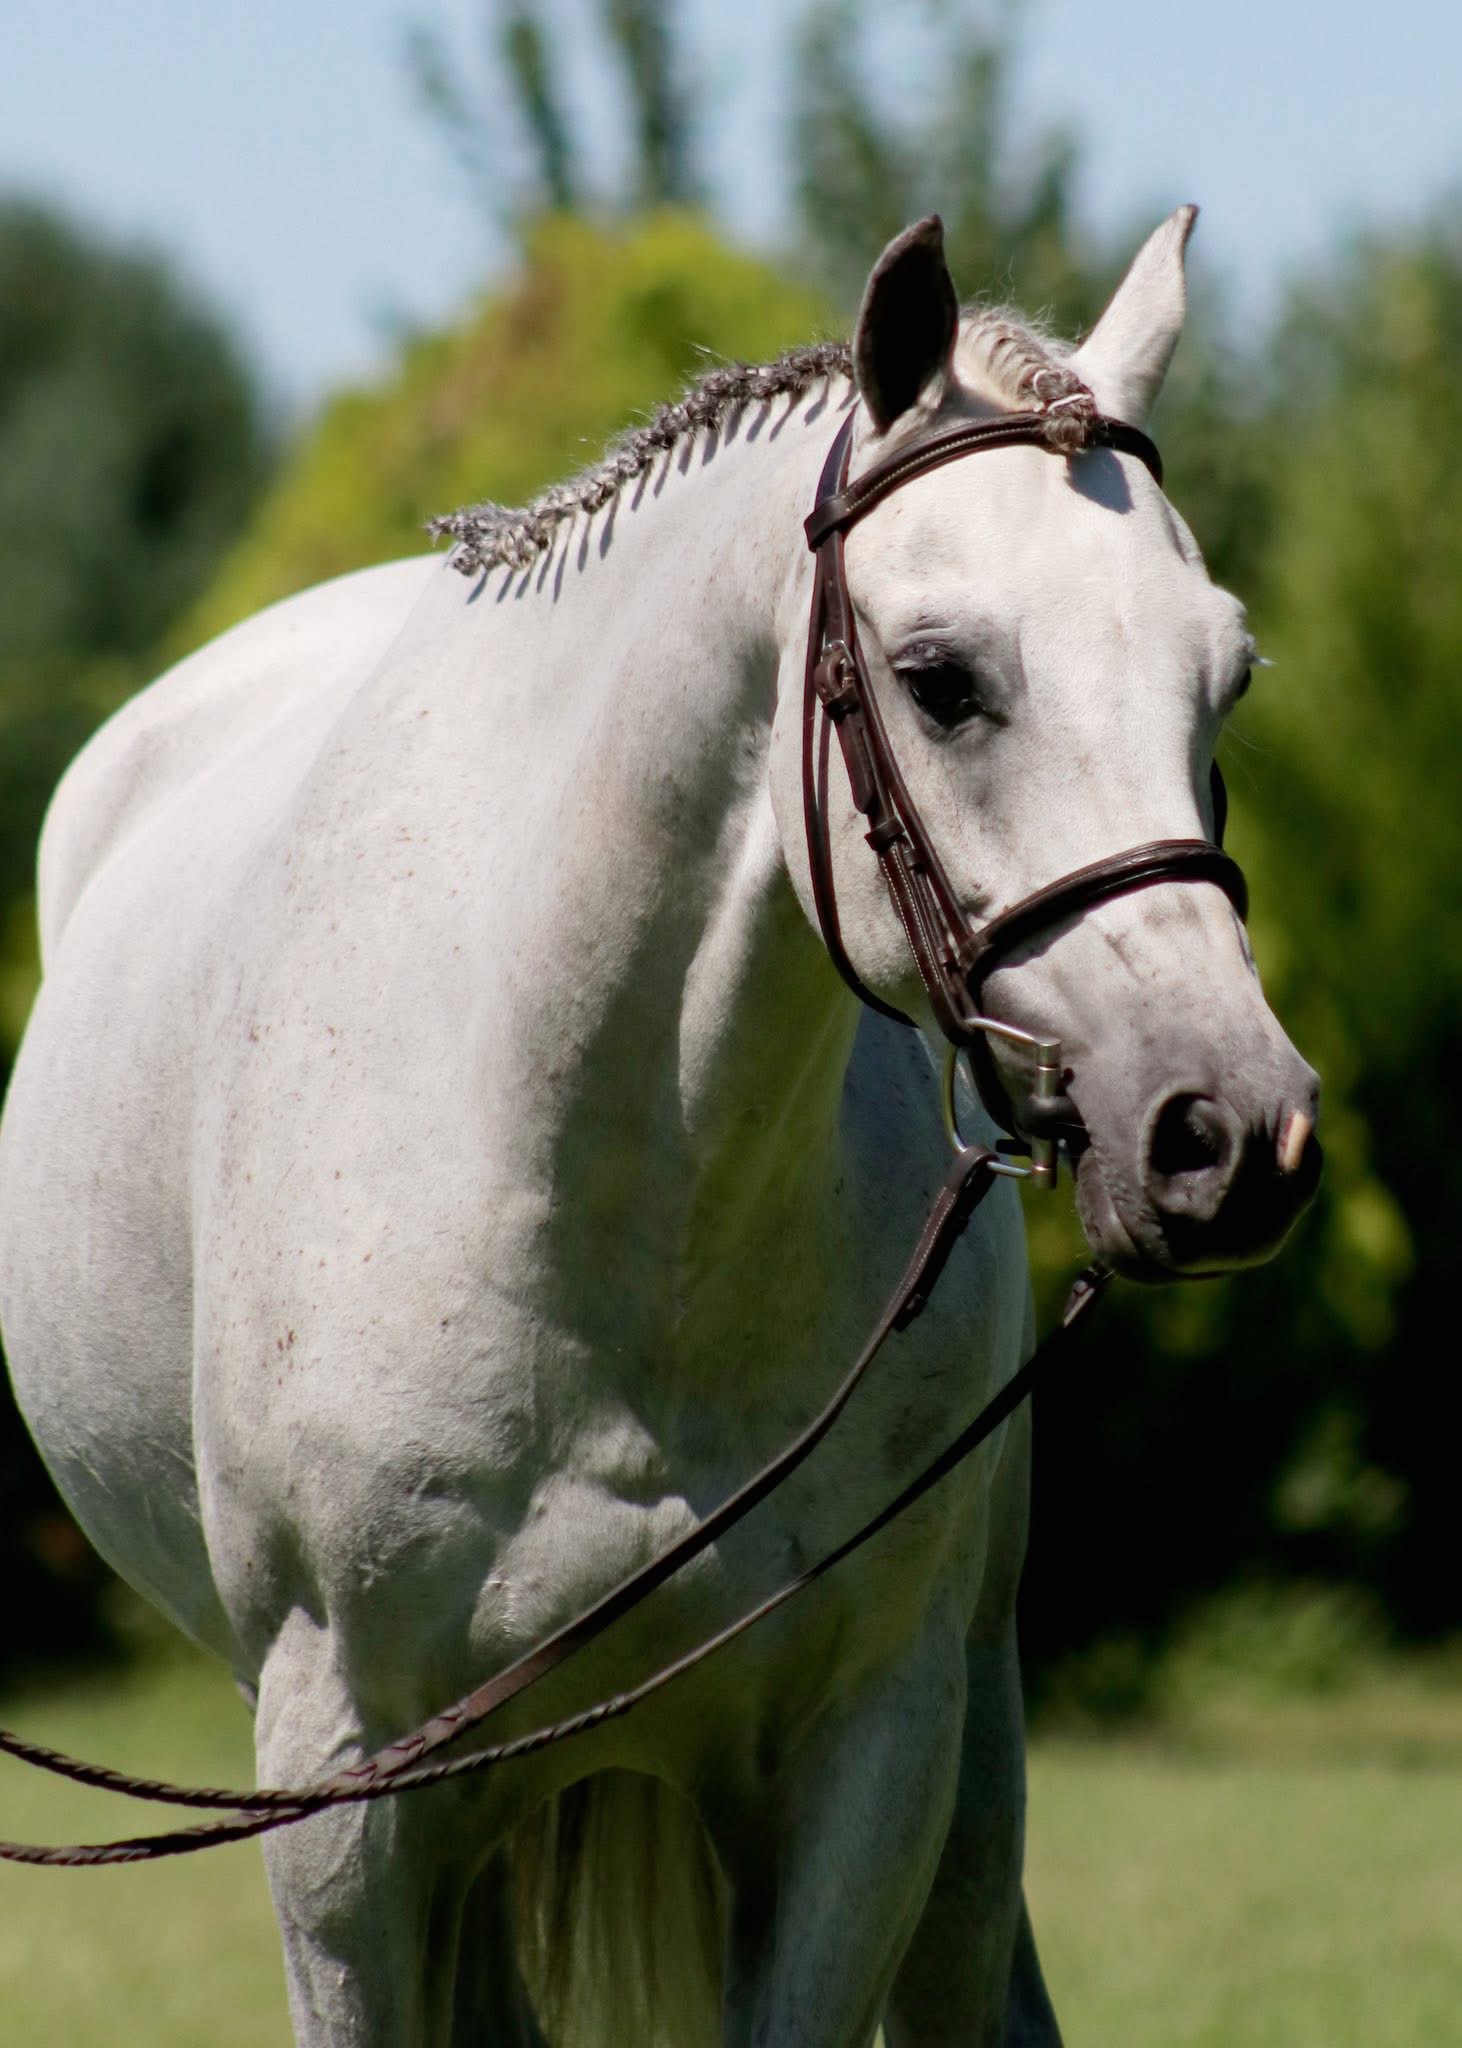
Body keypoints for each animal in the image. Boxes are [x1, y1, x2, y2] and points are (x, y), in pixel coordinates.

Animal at [0, 209, 1319, 2045]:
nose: (1228, 1131)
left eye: (1228, 674)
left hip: (967, 1754)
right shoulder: (346, 1812)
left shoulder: (867, 1764)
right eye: (940, 678)